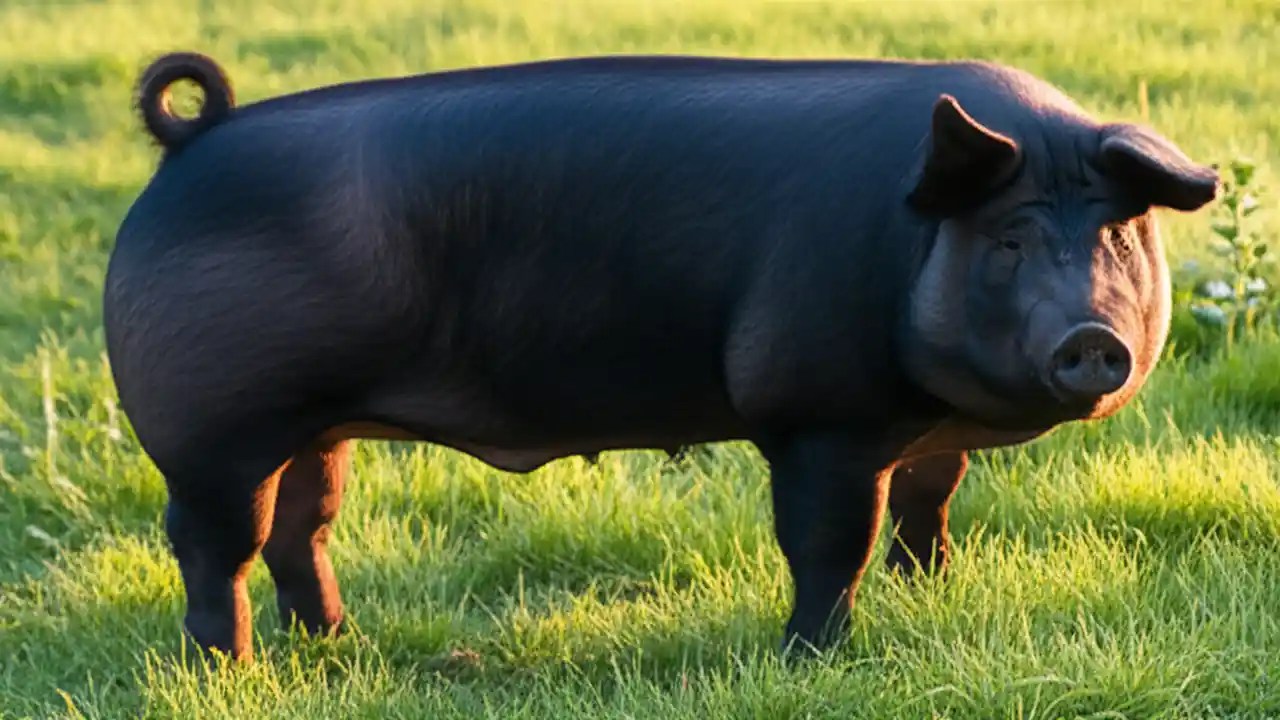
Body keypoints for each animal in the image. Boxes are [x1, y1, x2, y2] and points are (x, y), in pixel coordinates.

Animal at [104, 51, 1219, 663]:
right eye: (1009, 240)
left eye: (1119, 235)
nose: (1091, 337)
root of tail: (193, 141)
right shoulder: (818, 416)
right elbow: (829, 544)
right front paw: (810, 658)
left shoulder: (923, 432)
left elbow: (927, 505)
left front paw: (930, 590)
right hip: (212, 430)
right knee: (214, 546)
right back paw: (230, 672)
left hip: (316, 424)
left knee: (305, 526)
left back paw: (335, 642)